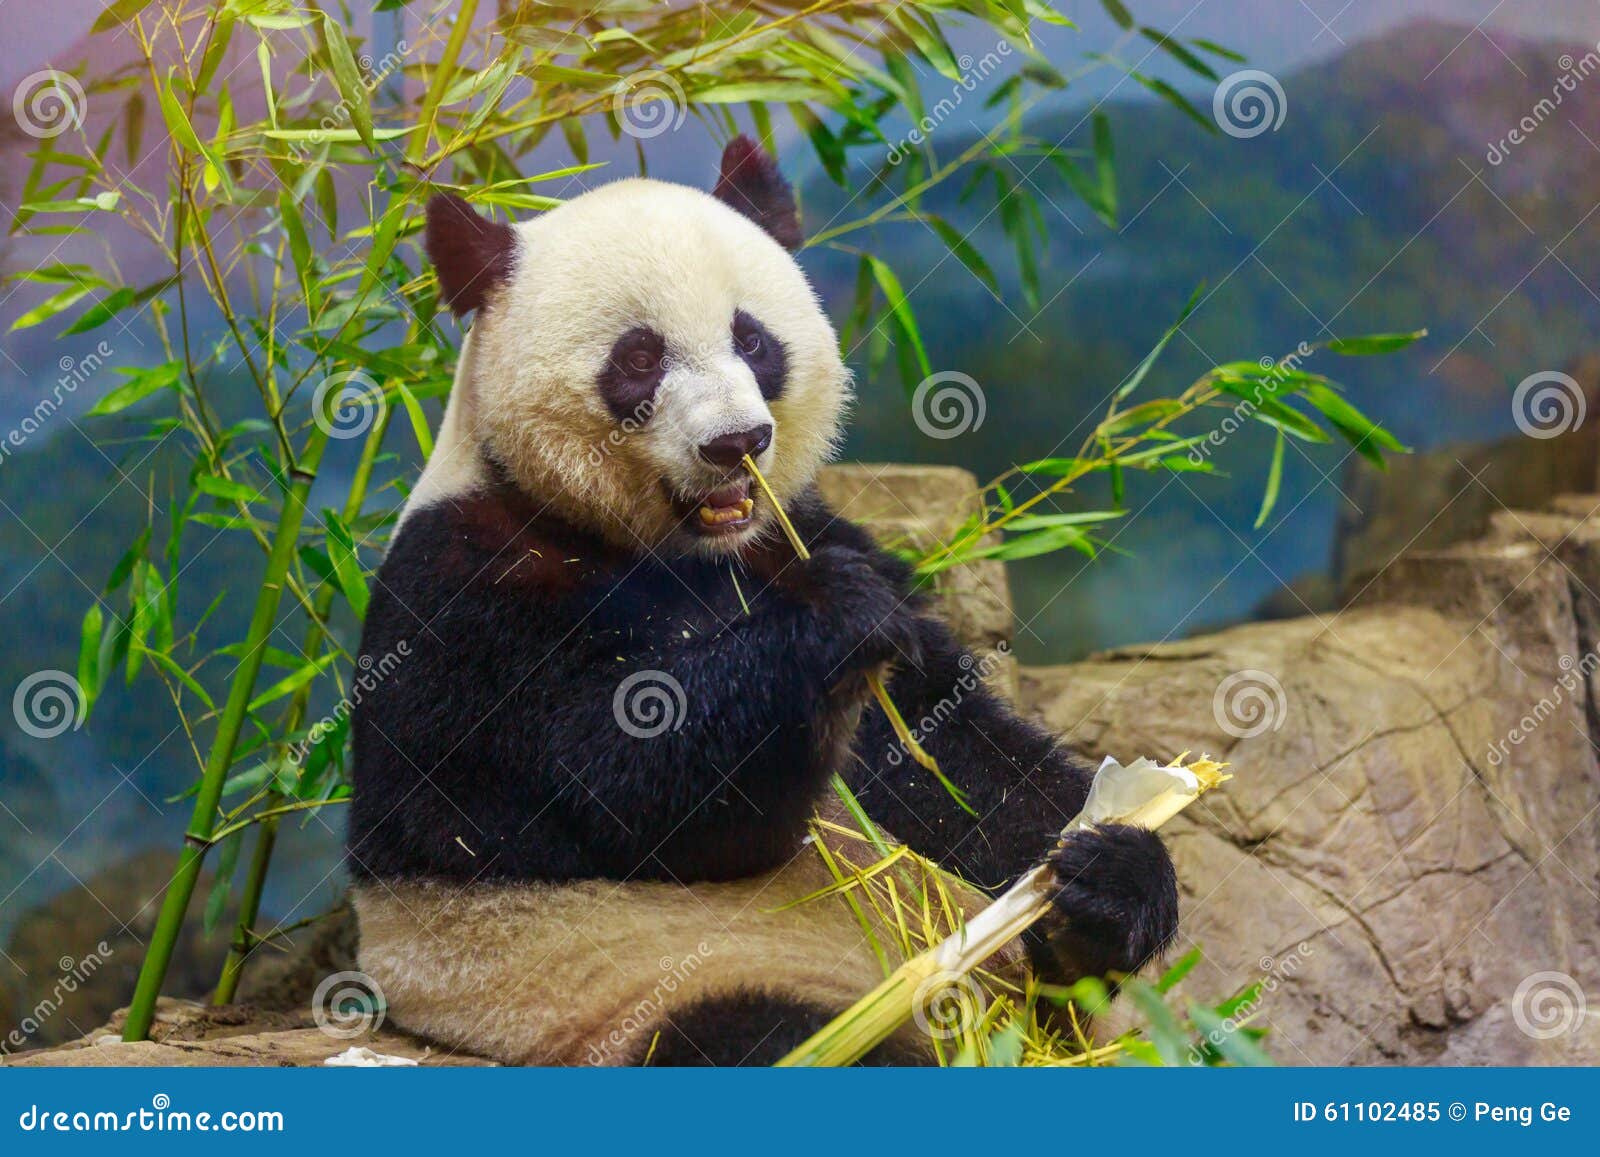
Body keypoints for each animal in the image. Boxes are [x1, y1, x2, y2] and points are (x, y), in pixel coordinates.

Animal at [347, 137, 1178, 1066]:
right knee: (755, 1036)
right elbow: (618, 793)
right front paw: (829, 626)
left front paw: (1117, 877)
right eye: (639, 357)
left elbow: (941, 748)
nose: (735, 442)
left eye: (752, 339)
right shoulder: (466, 593)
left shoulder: (799, 529)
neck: (681, 551)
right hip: (644, 997)